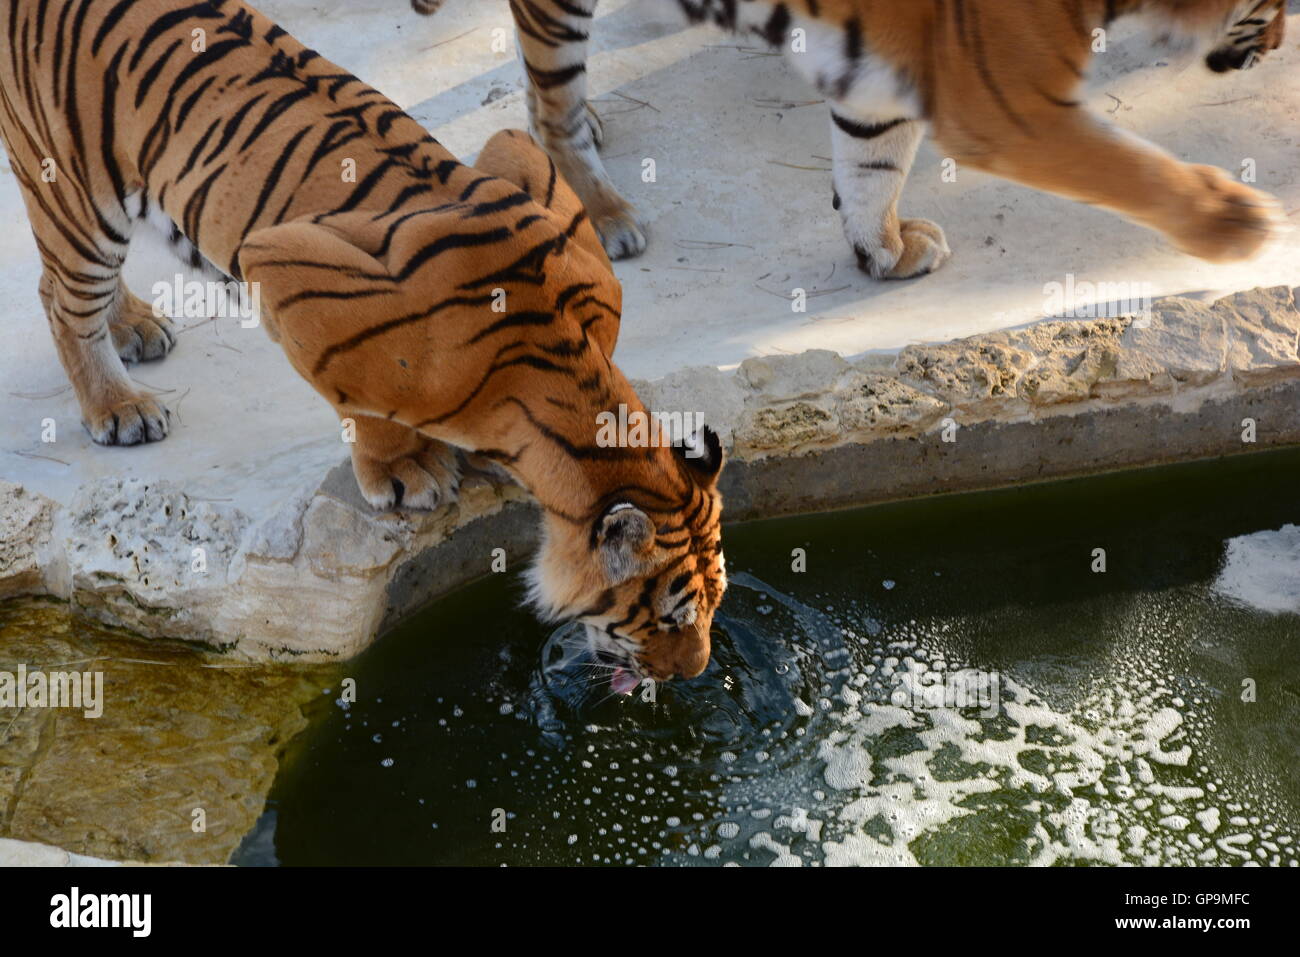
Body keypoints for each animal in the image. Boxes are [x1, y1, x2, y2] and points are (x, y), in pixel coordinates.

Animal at [0, 0, 726, 684]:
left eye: (717, 599)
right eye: (666, 615)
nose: (693, 672)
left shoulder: (514, 156)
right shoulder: (280, 263)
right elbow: (358, 396)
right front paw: (408, 472)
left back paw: (134, 325)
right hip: (78, 193)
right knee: (63, 296)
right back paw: (119, 406)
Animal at [411, 0, 1289, 279]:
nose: (1282, 41)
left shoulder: (885, 77)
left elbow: (872, 165)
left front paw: (886, 253)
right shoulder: (1007, 106)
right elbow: (1138, 171)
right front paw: (1242, 223)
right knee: (552, 101)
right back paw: (607, 212)